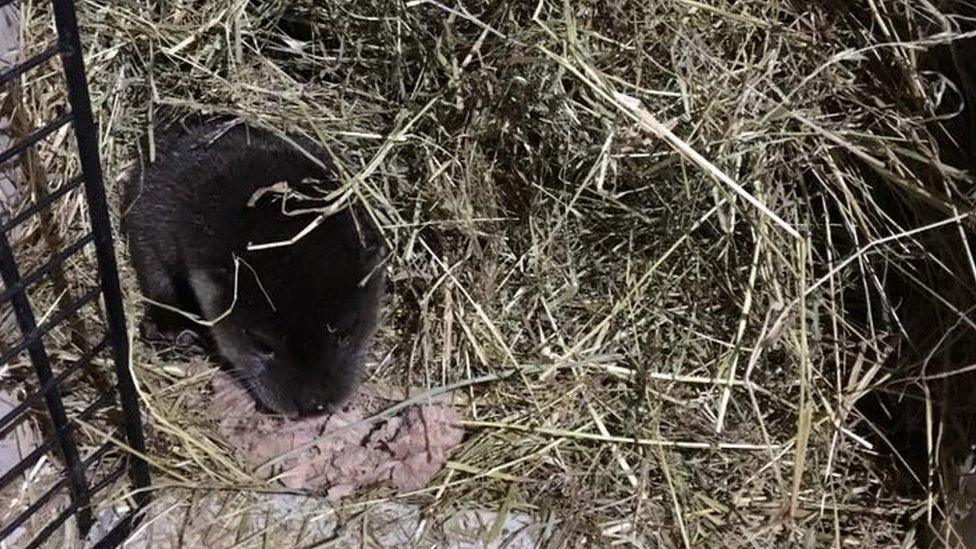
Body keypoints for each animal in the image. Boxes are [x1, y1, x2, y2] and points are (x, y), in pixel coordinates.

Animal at [122, 120, 384, 417]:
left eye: (345, 332)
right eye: (263, 344)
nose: (313, 404)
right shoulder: (153, 206)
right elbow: (152, 264)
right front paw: (170, 328)